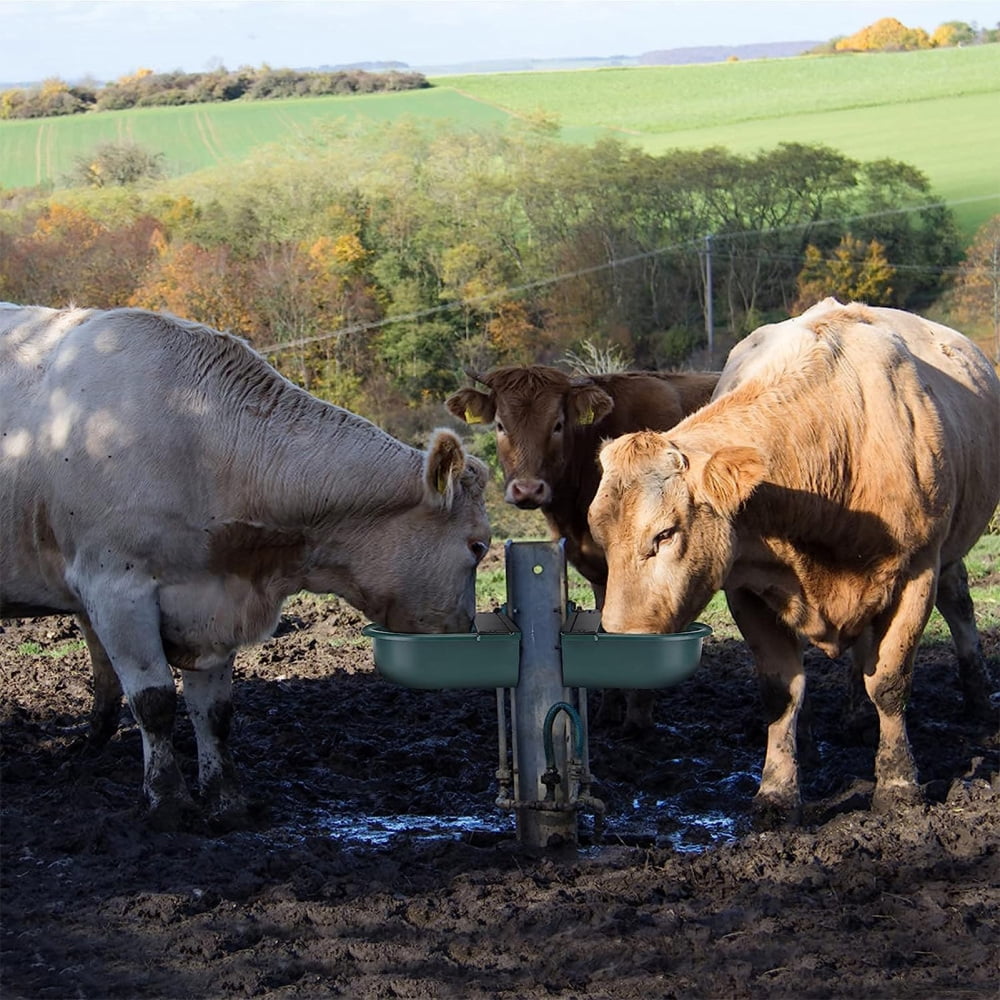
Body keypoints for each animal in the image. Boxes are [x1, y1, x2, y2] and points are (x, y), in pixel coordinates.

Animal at [1, 304, 491, 830]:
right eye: (478, 546)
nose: (465, 631)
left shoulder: (212, 599)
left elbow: (215, 712)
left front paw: (227, 801)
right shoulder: (114, 586)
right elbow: (155, 701)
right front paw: (168, 802)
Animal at [446, 364, 719, 729]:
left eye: (558, 424)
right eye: (501, 425)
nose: (527, 490)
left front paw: (637, 718)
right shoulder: (598, 571)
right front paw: (608, 708)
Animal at [588, 299, 1000, 827]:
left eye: (664, 533)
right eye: (598, 534)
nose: (620, 644)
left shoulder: (917, 571)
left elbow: (890, 680)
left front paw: (899, 785)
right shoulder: (745, 587)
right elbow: (782, 692)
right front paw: (777, 794)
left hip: (948, 555)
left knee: (959, 609)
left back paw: (978, 698)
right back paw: (847, 720)